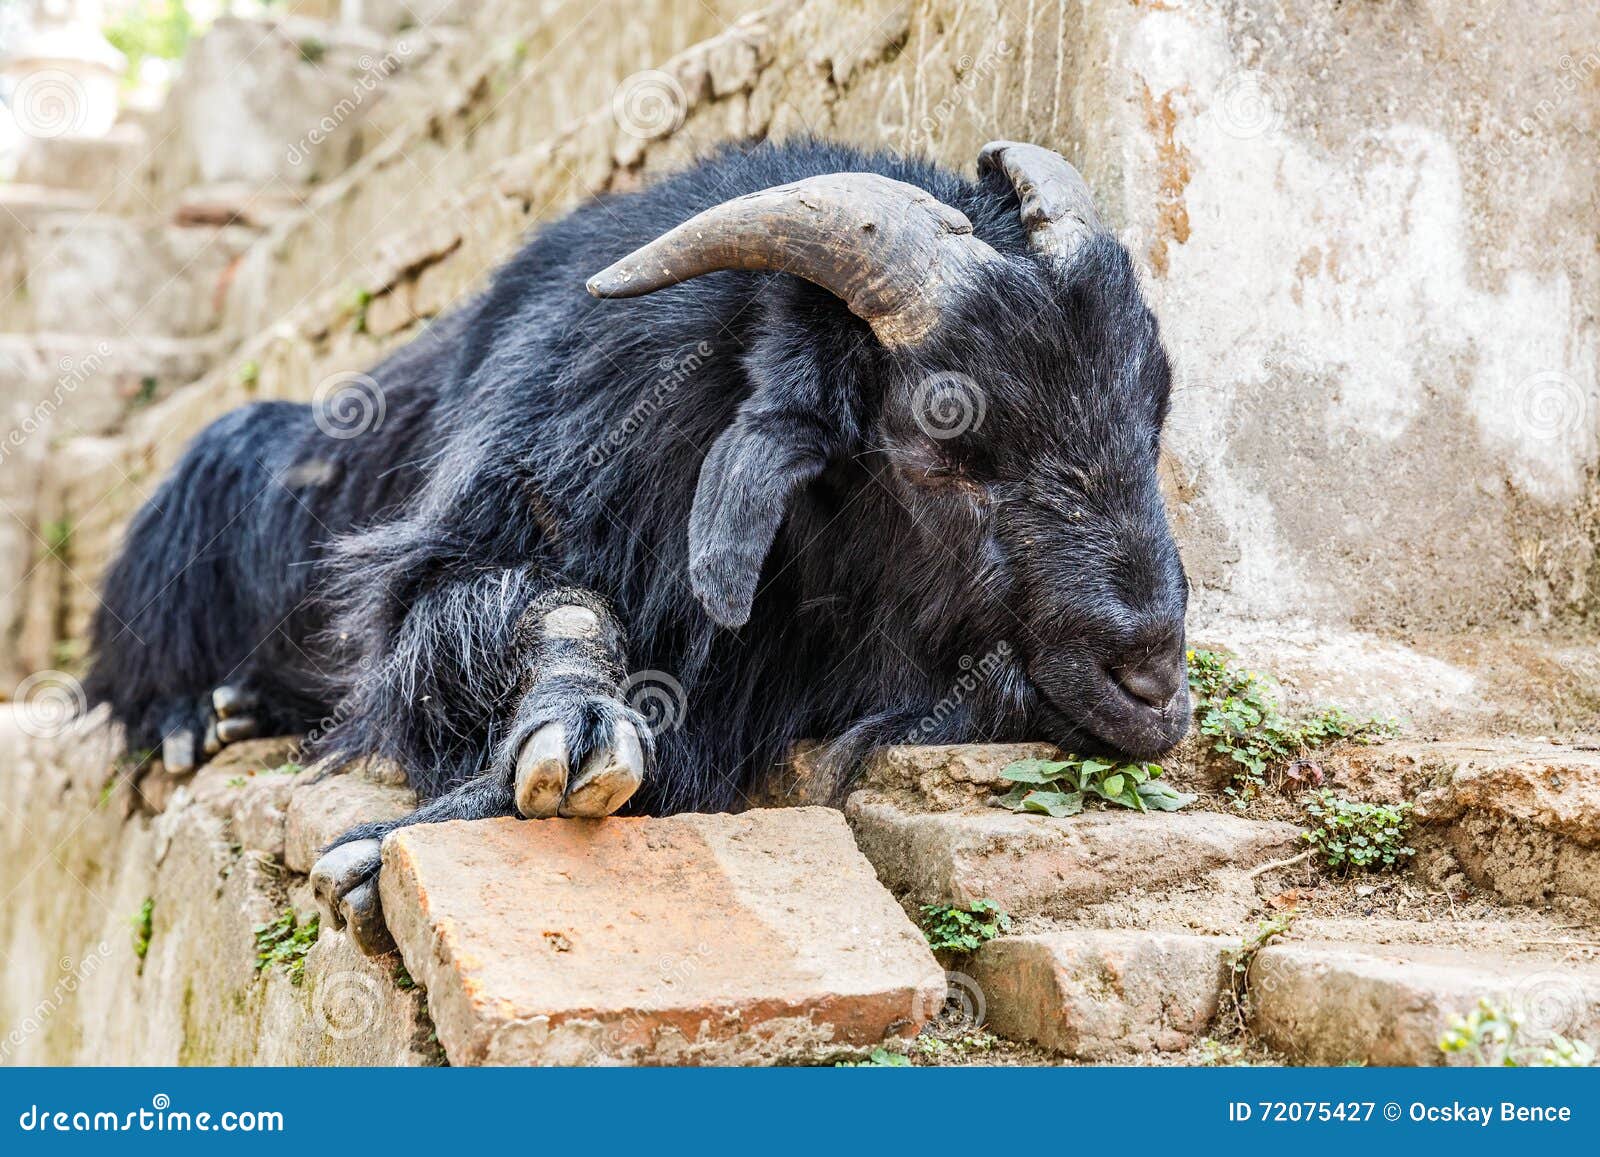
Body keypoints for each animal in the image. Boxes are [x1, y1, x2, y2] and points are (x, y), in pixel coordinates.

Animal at [85, 137, 1191, 953]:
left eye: (1154, 403)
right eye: (938, 443)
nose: (1153, 686)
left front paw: (379, 855)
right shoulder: (480, 528)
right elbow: (520, 611)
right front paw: (573, 734)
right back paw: (194, 713)